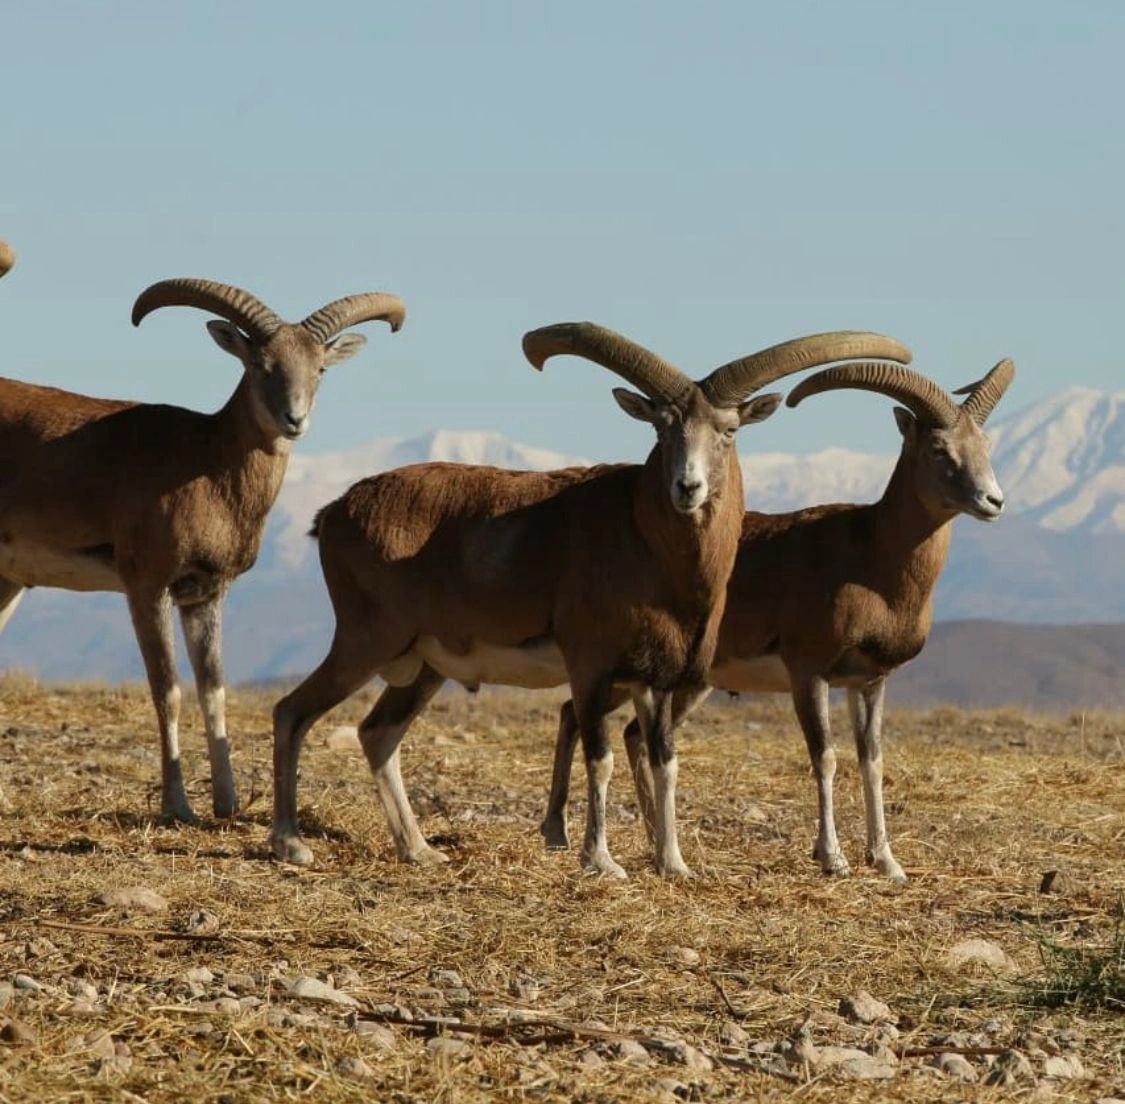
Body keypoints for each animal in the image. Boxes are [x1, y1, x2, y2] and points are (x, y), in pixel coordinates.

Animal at [0, 274, 405, 824]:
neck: (207, 469)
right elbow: (167, 689)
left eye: (319, 367)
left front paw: (227, 804)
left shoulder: (205, 595)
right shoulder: (147, 587)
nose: (293, 418)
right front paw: (178, 807)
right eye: (260, 364)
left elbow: (213, 690)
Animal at [269, 323, 913, 876]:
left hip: (423, 665)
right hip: (365, 640)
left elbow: (662, 758)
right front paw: (602, 861)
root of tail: (333, 513)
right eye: (662, 428)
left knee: (377, 733)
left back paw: (418, 849)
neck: (651, 550)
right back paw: (290, 843)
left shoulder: (659, 679)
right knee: (293, 711)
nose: (688, 487)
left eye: (728, 431)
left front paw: (673, 863)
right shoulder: (591, 667)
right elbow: (600, 754)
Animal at [542, 358, 1014, 883]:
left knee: (604, 725)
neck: (873, 560)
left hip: (673, 682)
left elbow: (871, 761)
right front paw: (833, 858)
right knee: (583, 718)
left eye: (984, 444)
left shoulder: (870, 682)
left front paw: (888, 863)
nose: (992, 501)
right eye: (937, 448)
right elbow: (825, 756)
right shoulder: (809, 673)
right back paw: (566, 837)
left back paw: (636, 843)